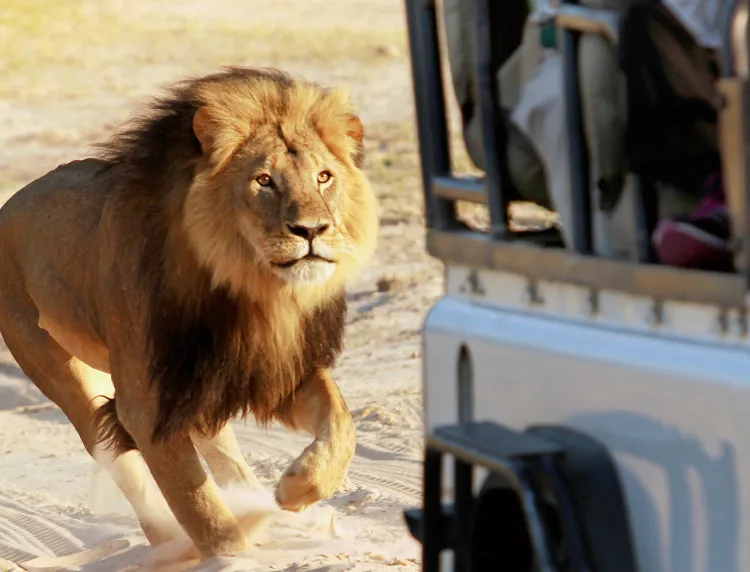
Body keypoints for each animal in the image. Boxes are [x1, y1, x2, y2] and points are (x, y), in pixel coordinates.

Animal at [0, 66, 378, 559]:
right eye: (264, 180)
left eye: (324, 176)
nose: (312, 230)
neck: (248, 291)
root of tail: (10, 203)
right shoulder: (147, 405)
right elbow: (199, 505)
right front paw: (231, 554)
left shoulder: (276, 369)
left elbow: (340, 423)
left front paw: (297, 489)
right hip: (67, 375)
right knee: (130, 474)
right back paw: (170, 547)